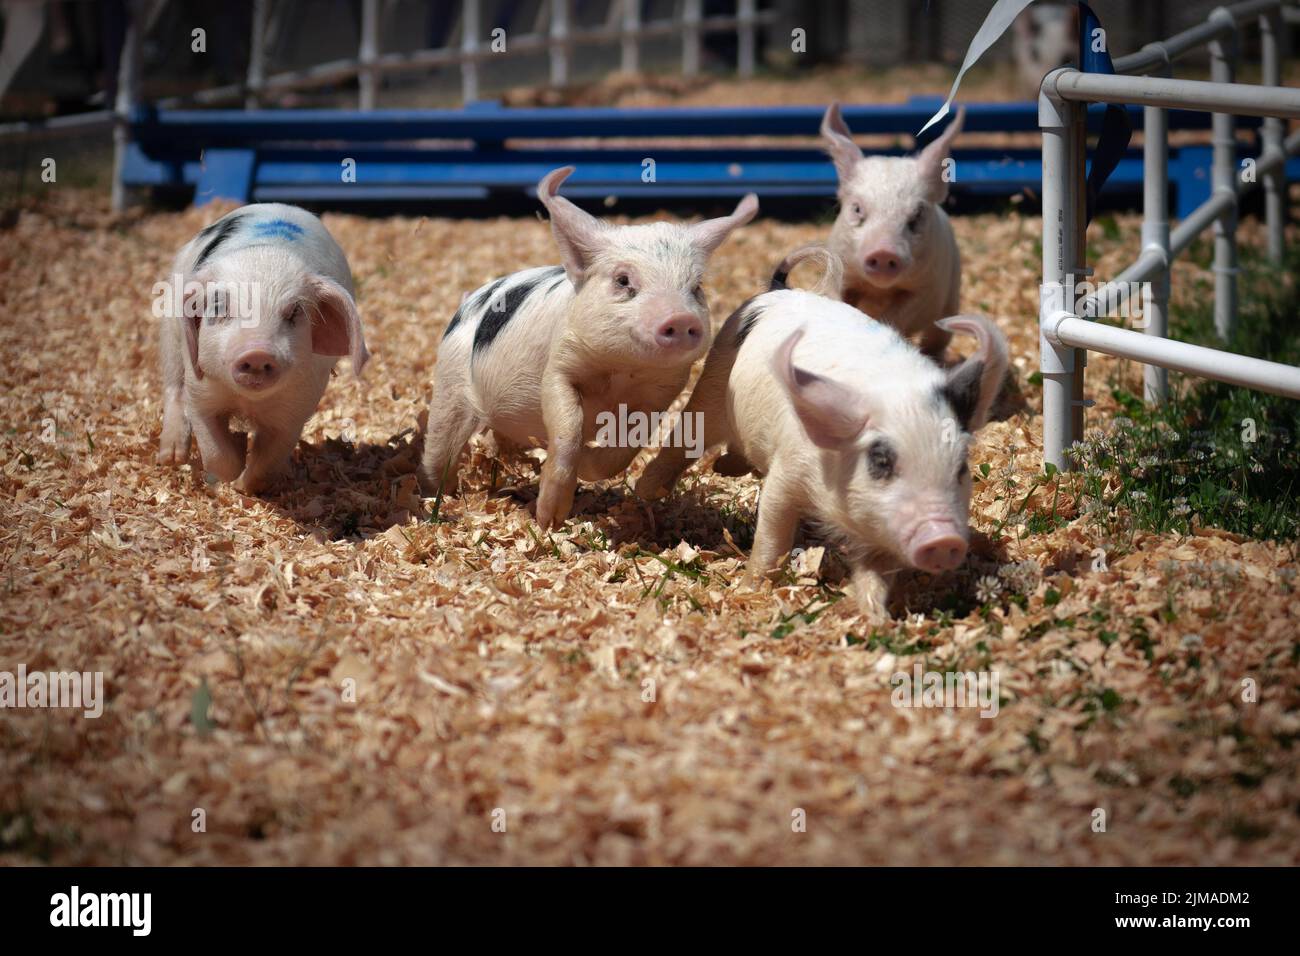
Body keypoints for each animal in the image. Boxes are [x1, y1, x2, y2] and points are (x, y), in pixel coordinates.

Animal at [156, 203, 369, 494]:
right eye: (219, 305)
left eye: (295, 311)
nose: (257, 352)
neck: (249, 402)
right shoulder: (201, 391)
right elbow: (217, 454)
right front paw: (228, 471)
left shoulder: (296, 408)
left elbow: (266, 463)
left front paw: (242, 485)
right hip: (171, 328)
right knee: (173, 384)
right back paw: (170, 458)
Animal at [418, 165, 757, 530]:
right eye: (623, 280)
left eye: (696, 287)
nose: (680, 317)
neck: (622, 370)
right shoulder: (560, 367)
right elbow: (567, 428)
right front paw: (549, 520)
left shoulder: (662, 392)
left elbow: (630, 442)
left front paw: (586, 464)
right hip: (450, 385)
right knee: (440, 447)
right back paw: (437, 498)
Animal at [636, 245, 1008, 619]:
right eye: (881, 461)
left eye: (961, 469)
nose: (944, 540)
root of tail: (779, 289)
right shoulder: (788, 470)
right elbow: (773, 532)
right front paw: (750, 589)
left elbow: (876, 569)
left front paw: (876, 618)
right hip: (713, 385)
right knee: (687, 437)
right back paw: (647, 490)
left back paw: (722, 468)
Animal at [820, 101, 965, 357]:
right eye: (857, 208)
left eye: (917, 214)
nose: (883, 252)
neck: (879, 291)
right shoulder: (842, 272)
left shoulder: (930, 288)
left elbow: (899, 314)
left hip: (951, 298)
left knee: (937, 338)